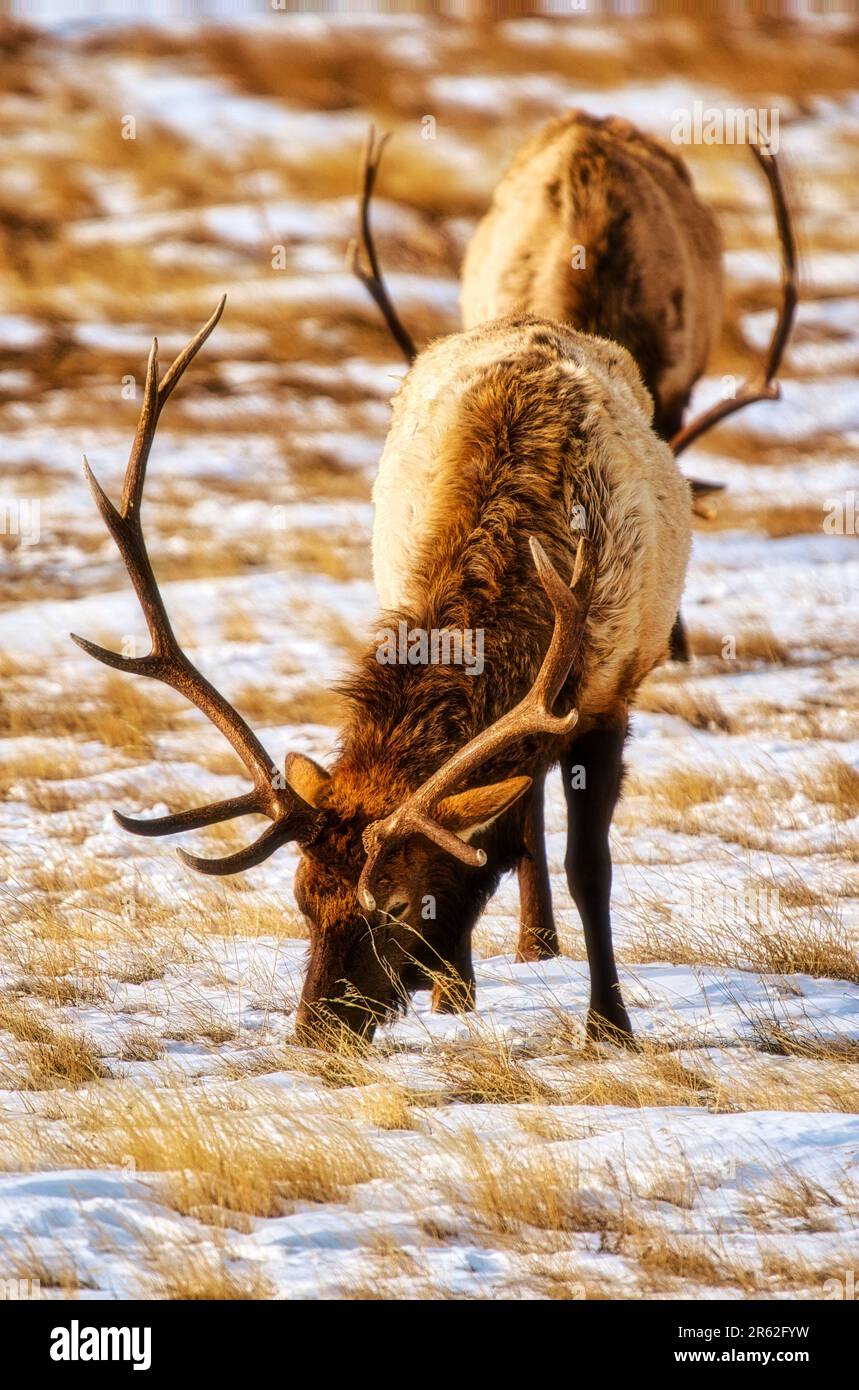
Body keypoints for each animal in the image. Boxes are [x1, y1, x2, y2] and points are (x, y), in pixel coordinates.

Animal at [73, 301, 692, 1048]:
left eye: (395, 907)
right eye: (303, 896)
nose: (315, 1033)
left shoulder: (609, 696)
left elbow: (590, 869)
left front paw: (609, 1025)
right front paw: (453, 983)